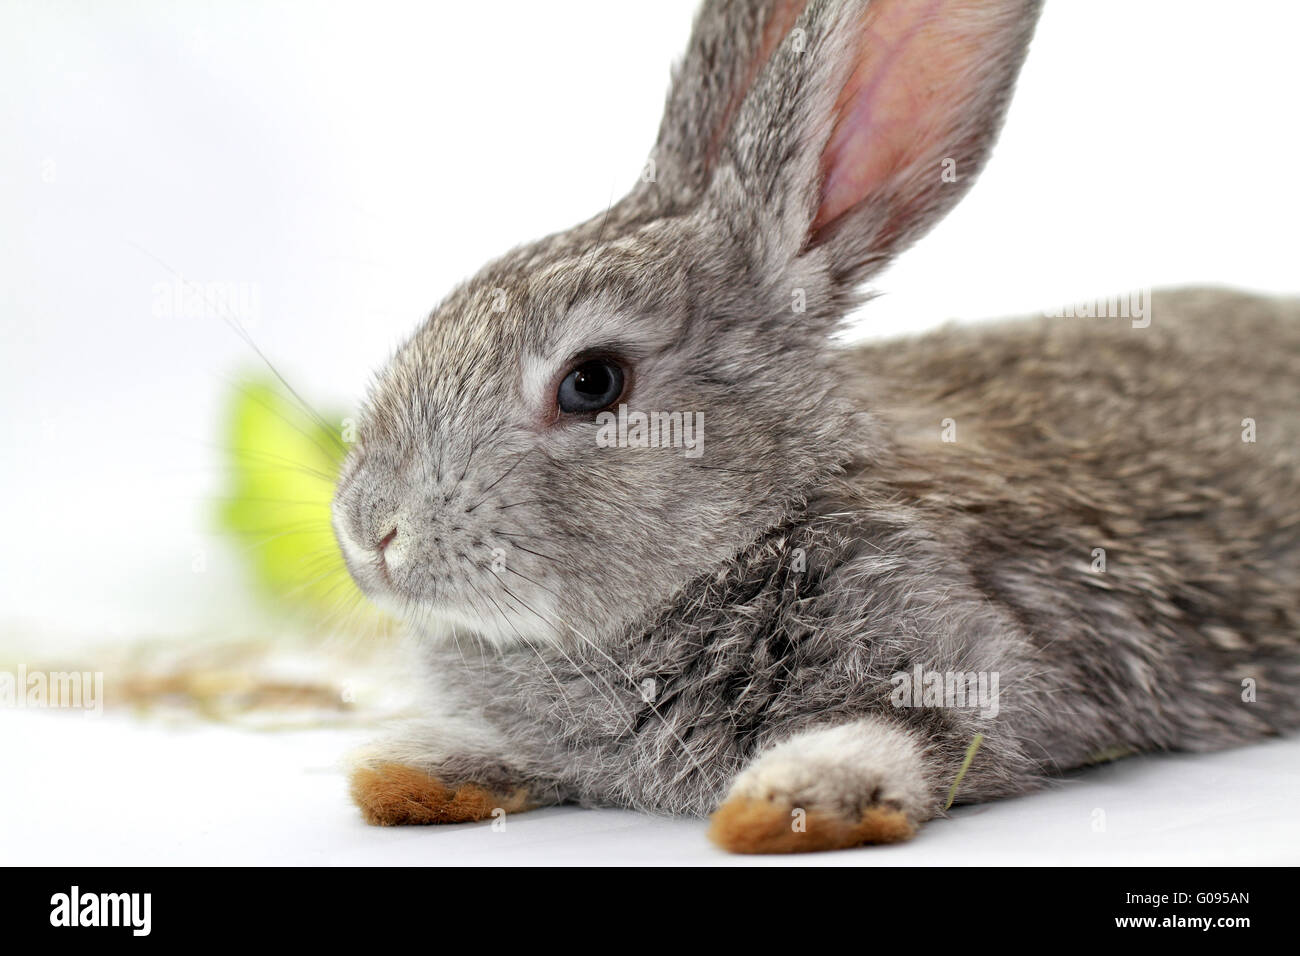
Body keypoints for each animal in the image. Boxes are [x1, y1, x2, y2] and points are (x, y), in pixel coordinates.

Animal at [332, 0, 1300, 853]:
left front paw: (781, 802)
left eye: (592, 382)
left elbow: (906, 745)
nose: (368, 530)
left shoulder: (974, 671)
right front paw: (405, 770)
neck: (761, 526)